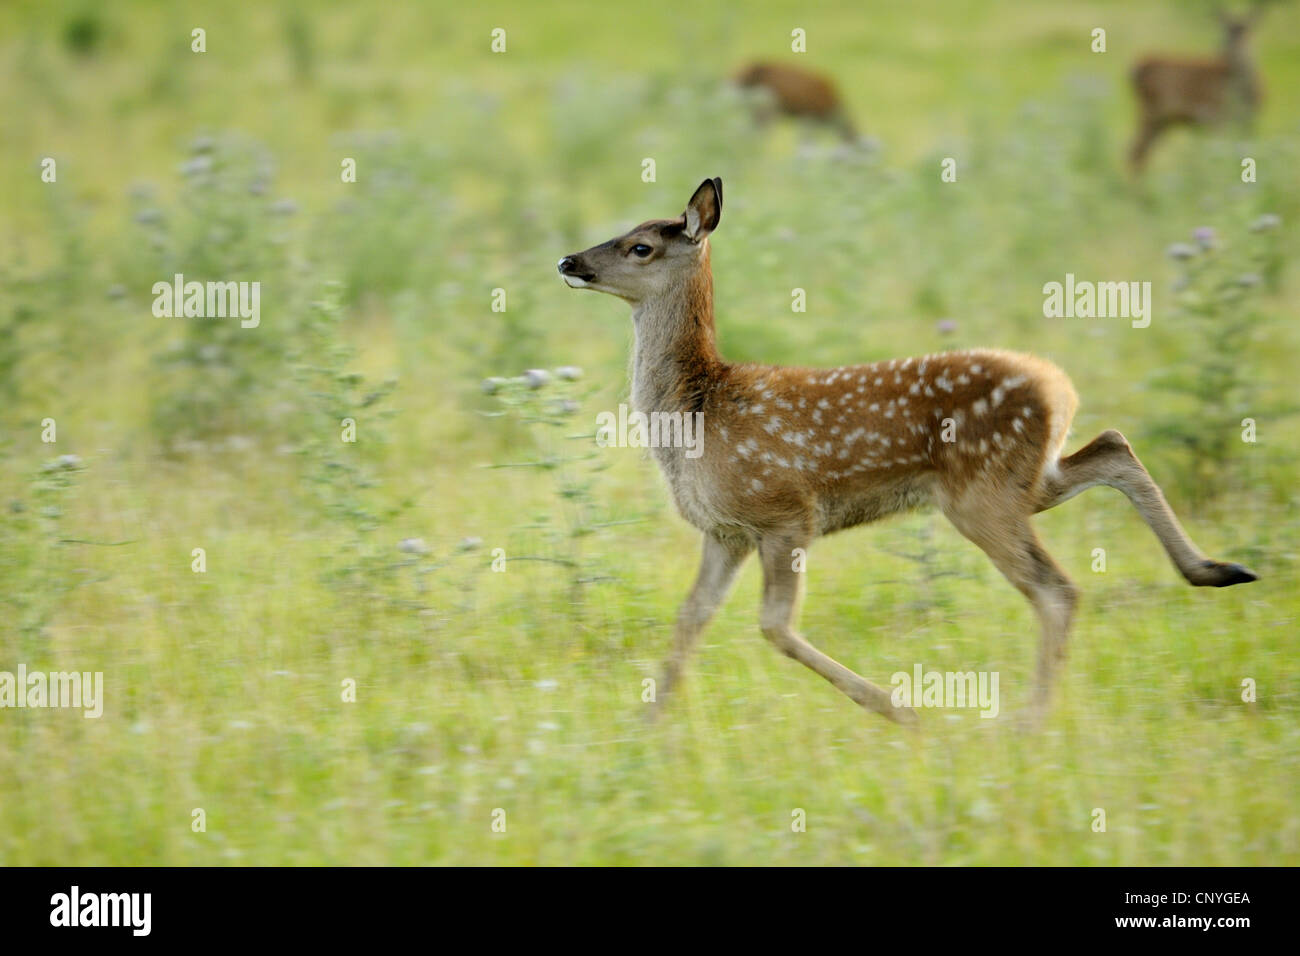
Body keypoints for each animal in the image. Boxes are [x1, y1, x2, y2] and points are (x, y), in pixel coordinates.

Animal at [557, 178, 1257, 727]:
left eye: (640, 246)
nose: (568, 260)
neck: (696, 411)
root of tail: (1058, 386)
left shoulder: (786, 512)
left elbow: (775, 627)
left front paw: (902, 710)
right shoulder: (725, 531)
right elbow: (691, 618)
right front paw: (645, 724)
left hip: (982, 495)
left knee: (1058, 590)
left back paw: (1026, 722)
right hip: (1022, 480)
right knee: (1111, 448)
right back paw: (1217, 569)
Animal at [1129, 4, 1265, 172]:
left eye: (1245, 29)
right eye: (1225, 29)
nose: (1223, 46)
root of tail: (1137, 68)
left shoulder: (1247, 120)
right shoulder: (1217, 117)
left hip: (1162, 120)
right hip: (1152, 111)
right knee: (1135, 152)